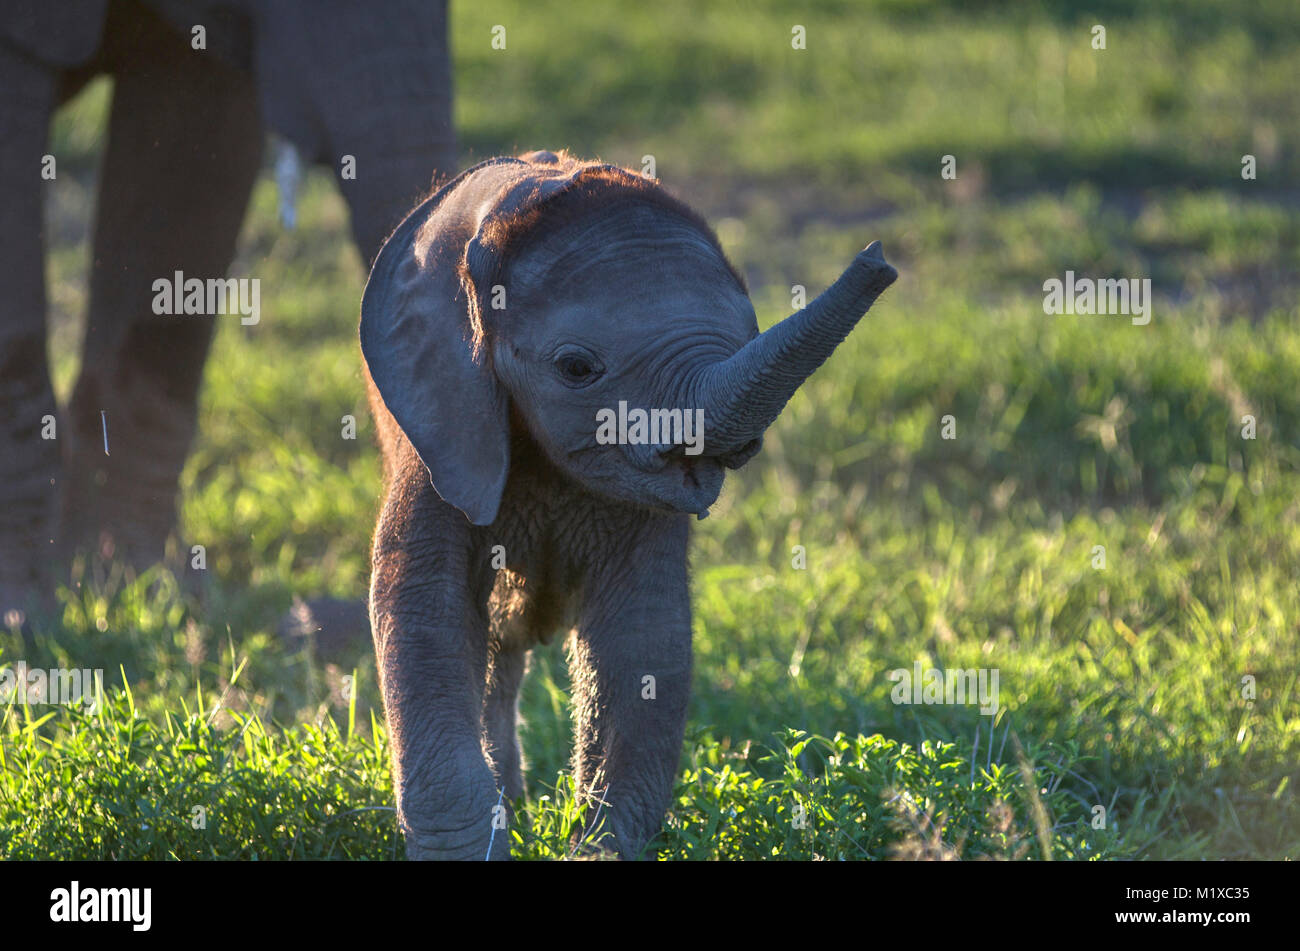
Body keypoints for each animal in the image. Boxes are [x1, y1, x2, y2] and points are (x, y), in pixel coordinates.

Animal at [360, 149, 897, 859]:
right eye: (576, 368)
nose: (880, 258)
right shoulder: (441, 419)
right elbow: (423, 610)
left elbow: (644, 634)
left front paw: (595, 845)